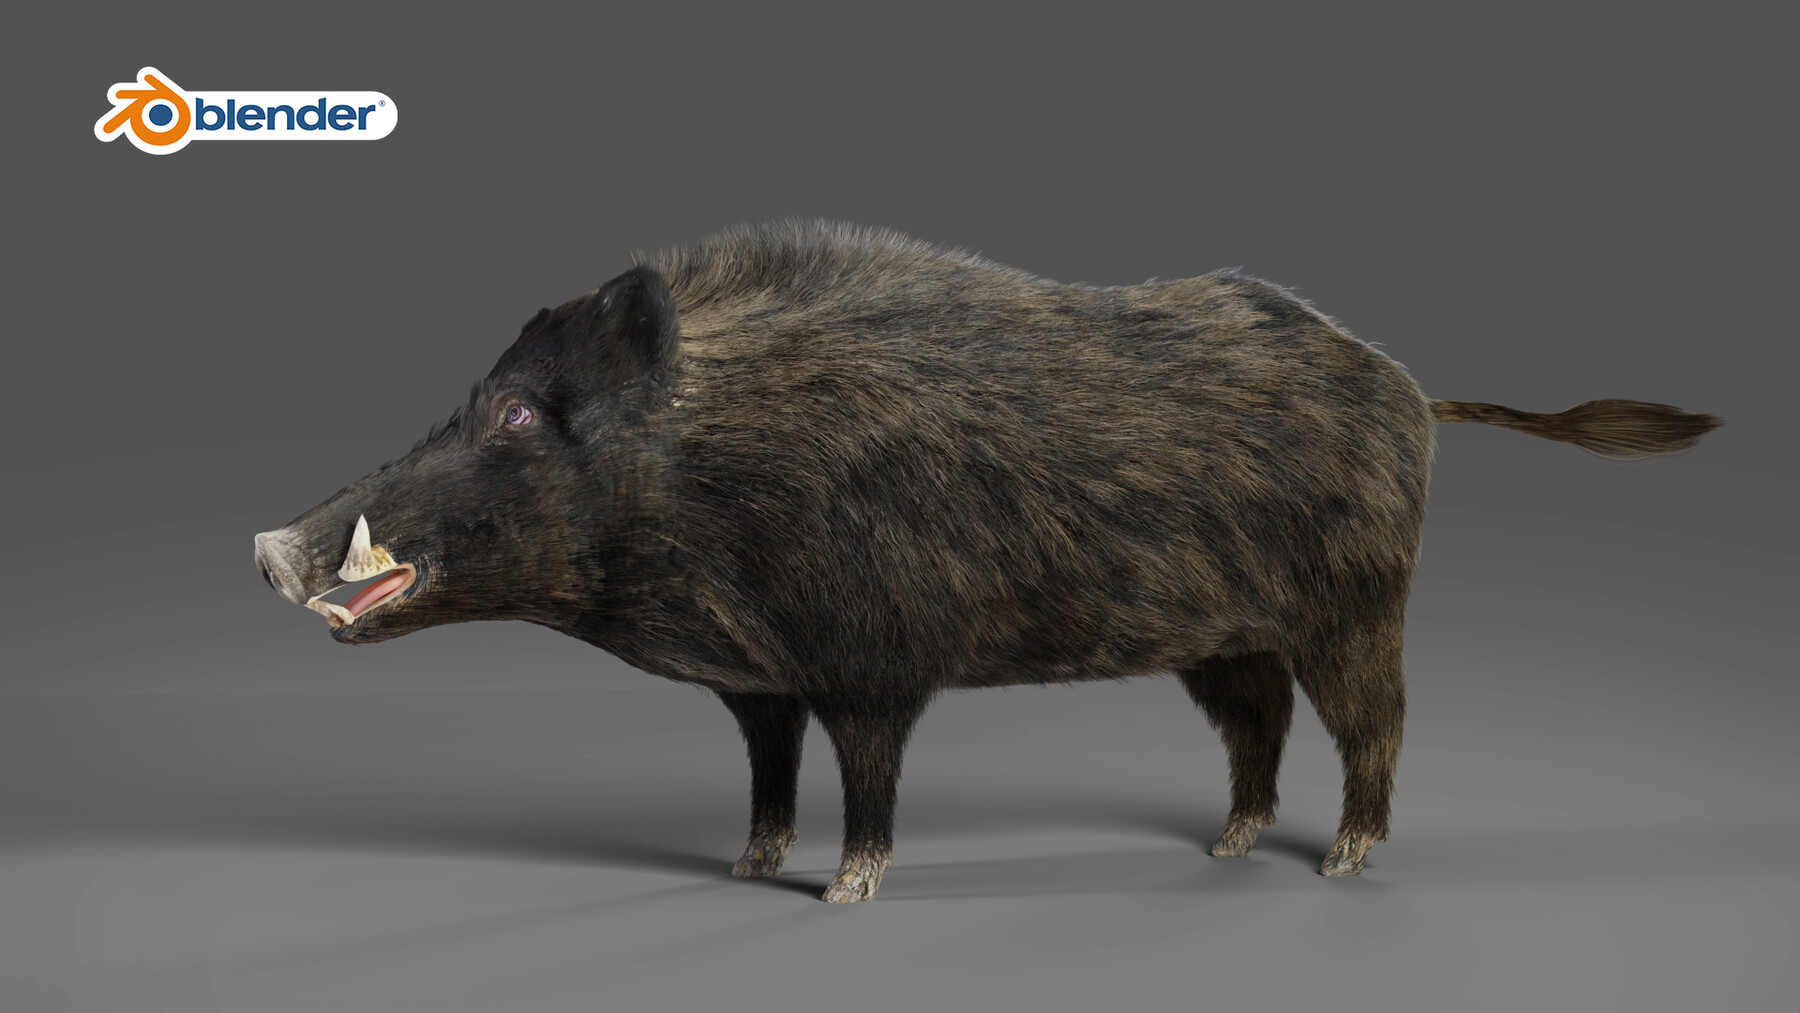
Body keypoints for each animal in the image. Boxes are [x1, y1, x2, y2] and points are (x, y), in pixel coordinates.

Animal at [254, 220, 1723, 902]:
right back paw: (1229, 846)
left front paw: (845, 891)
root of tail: (1412, 388)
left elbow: (870, 775)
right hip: (1227, 635)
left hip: (1359, 598)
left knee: (1381, 722)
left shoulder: (874, 657)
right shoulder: (757, 679)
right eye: (476, 397)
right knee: (1256, 726)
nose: (269, 541)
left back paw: (1343, 863)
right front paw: (746, 868)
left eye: (515, 415)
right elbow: (769, 768)